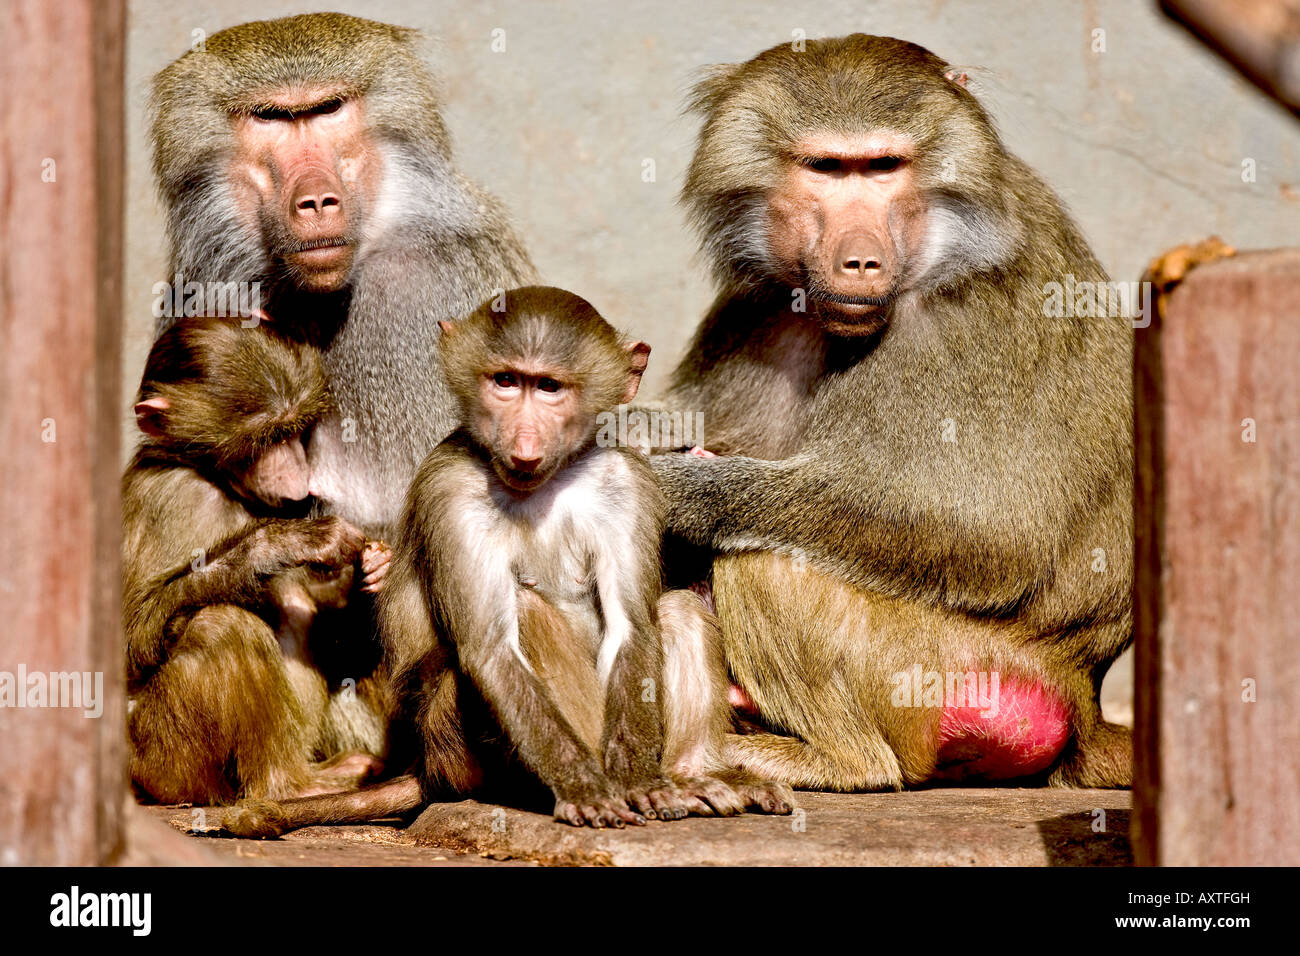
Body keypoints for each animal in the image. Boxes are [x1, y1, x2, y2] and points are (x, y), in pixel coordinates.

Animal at [124, 316, 394, 805]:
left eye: (295, 429)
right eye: (265, 438)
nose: (299, 477)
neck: (213, 480)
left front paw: (372, 572)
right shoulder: (172, 496)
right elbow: (133, 639)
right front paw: (281, 544)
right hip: (161, 763)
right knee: (221, 627)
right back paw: (286, 786)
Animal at [221, 287, 794, 835]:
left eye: (549, 388)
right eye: (505, 381)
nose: (523, 437)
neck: (546, 484)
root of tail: (427, 768)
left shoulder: (626, 481)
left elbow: (633, 629)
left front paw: (641, 781)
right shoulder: (451, 488)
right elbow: (493, 649)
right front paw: (587, 788)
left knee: (676, 611)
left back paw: (690, 775)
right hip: (458, 745)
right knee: (529, 614)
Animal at [645, 36, 1133, 791]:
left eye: (883, 167)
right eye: (826, 168)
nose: (861, 262)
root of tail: (1083, 692)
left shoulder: (962, 328)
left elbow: (992, 530)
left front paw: (678, 491)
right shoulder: (756, 309)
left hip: (937, 669)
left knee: (768, 561)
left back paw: (819, 761)